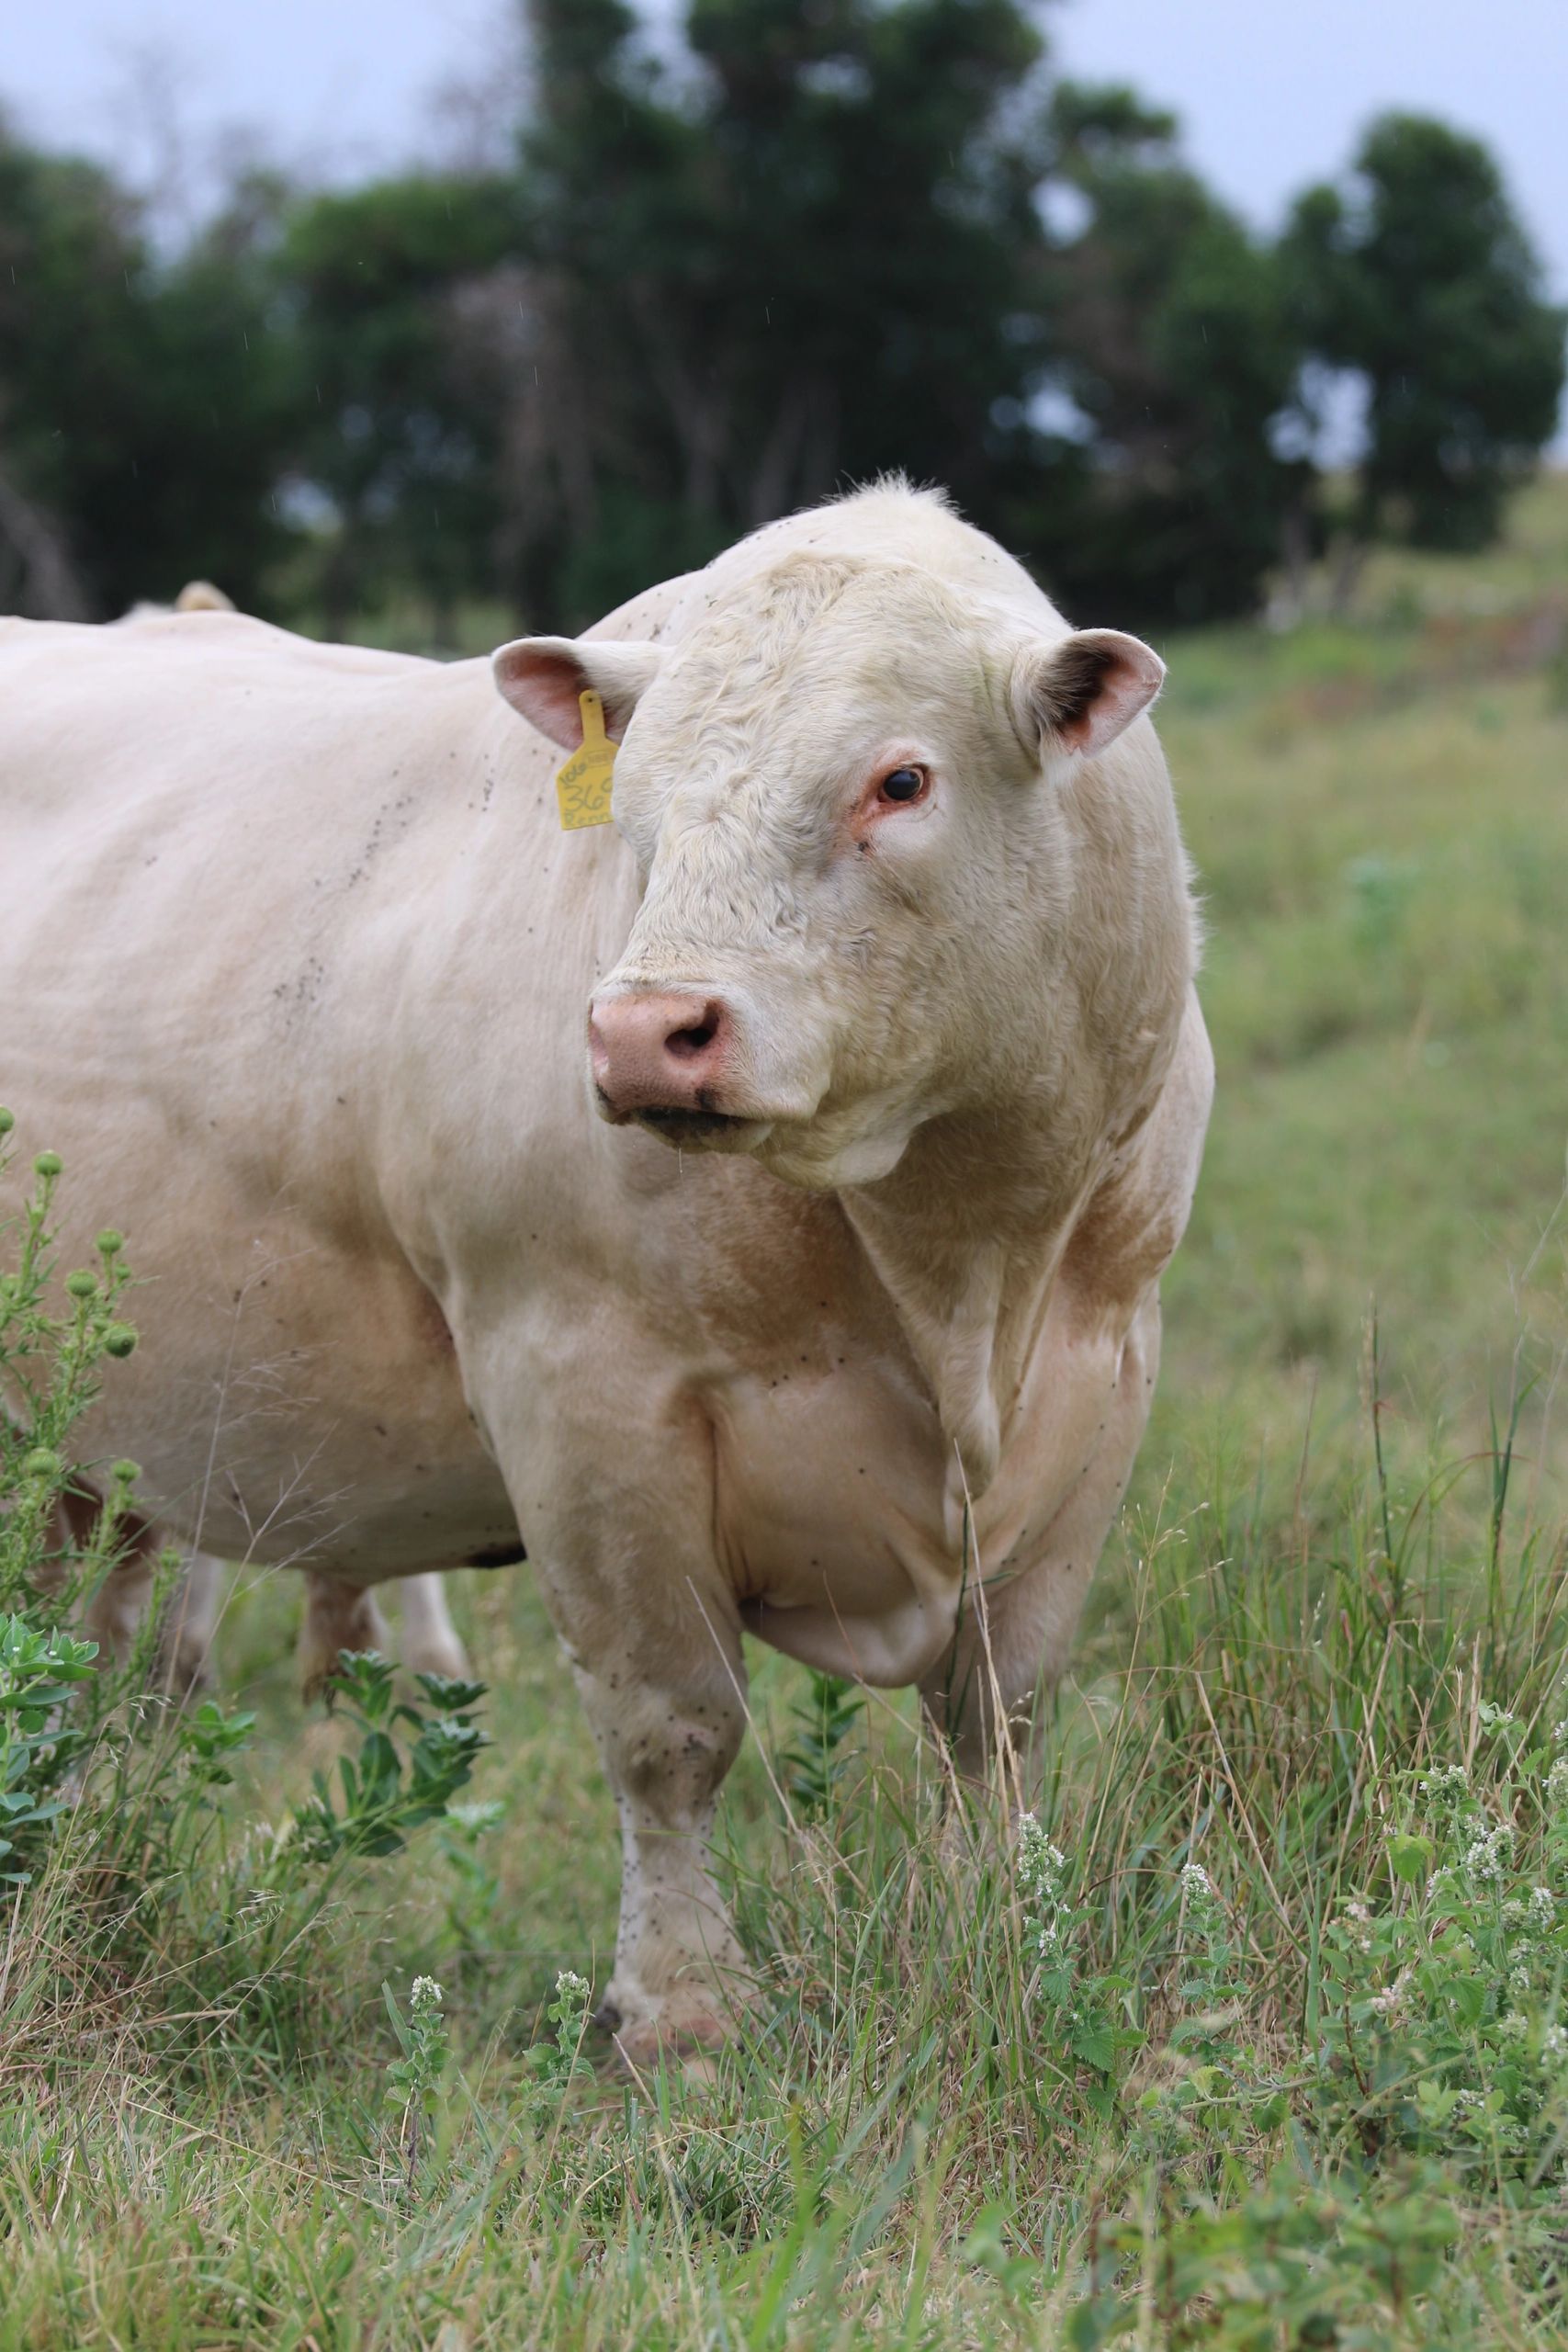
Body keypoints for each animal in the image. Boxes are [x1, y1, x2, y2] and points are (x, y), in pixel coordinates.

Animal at [0, 482, 1212, 2062]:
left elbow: (991, 1717)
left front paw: (1004, 1937)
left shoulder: (1102, 1378)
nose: (646, 1031)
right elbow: (670, 1730)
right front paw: (682, 2011)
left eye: (899, 780)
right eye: (632, 797)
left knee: (89, 1648)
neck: (954, 1259)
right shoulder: (581, 1390)